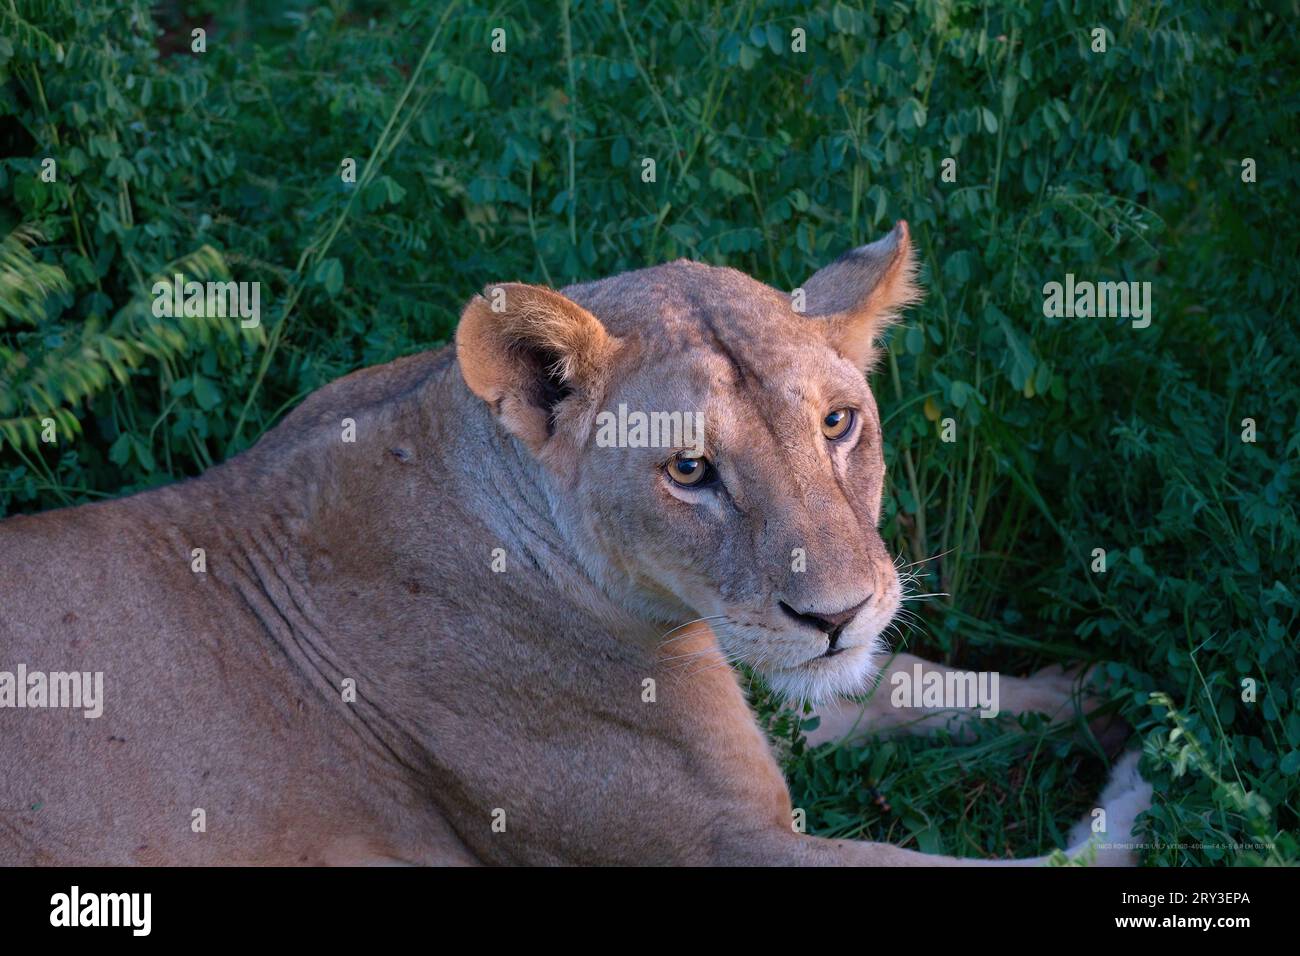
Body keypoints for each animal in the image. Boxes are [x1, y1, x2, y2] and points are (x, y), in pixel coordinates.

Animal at [0, 222, 1149, 865]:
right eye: (688, 471)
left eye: (837, 424)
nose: (837, 614)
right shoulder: (718, 847)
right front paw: (1146, 784)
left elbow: (915, 682)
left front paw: (1110, 696)